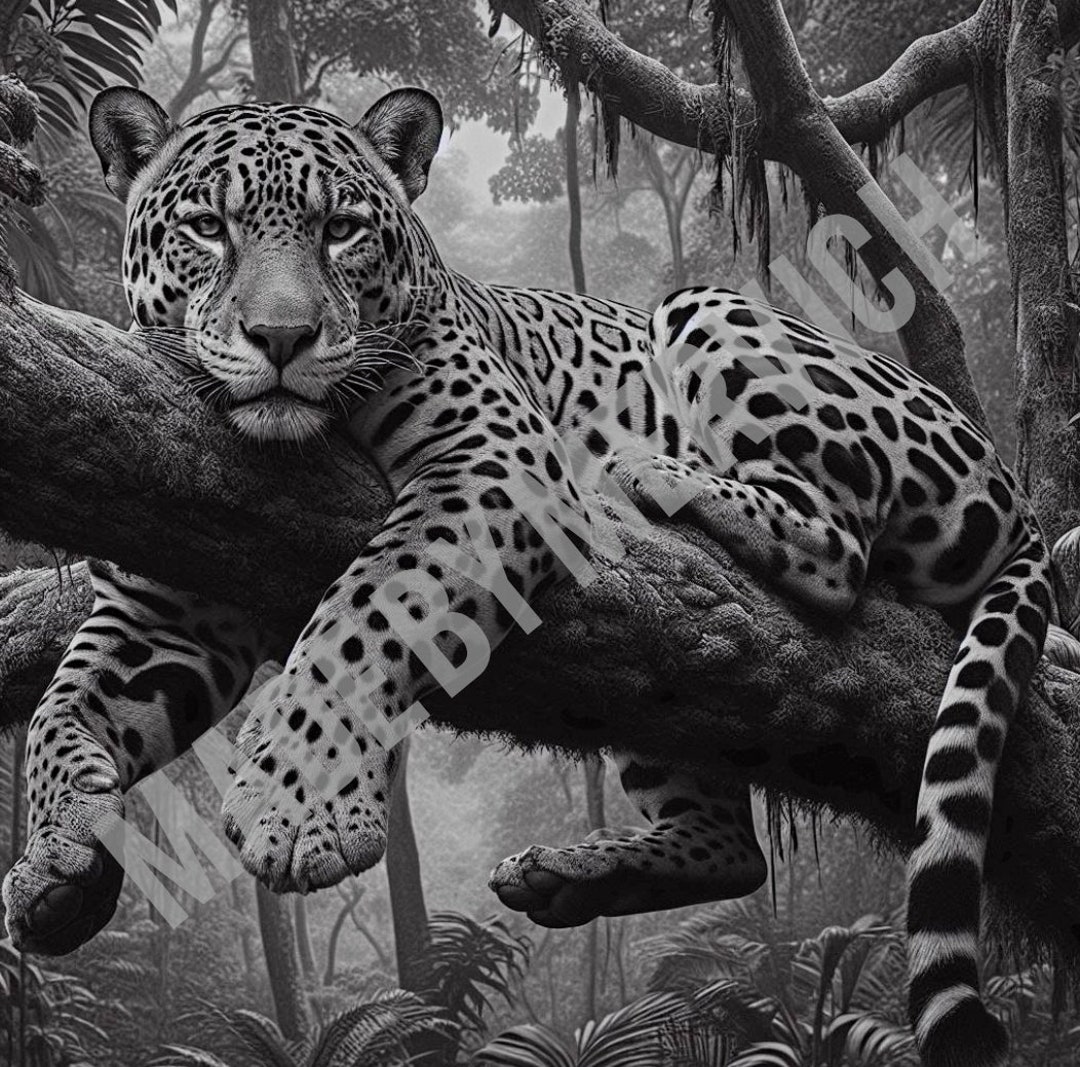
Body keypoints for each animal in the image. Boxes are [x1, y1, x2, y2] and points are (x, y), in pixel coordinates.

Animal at [0, 83, 1052, 1067]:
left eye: (340, 229)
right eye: (206, 229)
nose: (281, 337)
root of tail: (1010, 478)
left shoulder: (495, 463)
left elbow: (361, 618)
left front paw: (299, 803)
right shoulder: (164, 602)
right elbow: (60, 711)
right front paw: (54, 860)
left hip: (716, 314)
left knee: (838, 549)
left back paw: (656, 476)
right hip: (666, 699)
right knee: (736, 848)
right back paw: (566, 874)